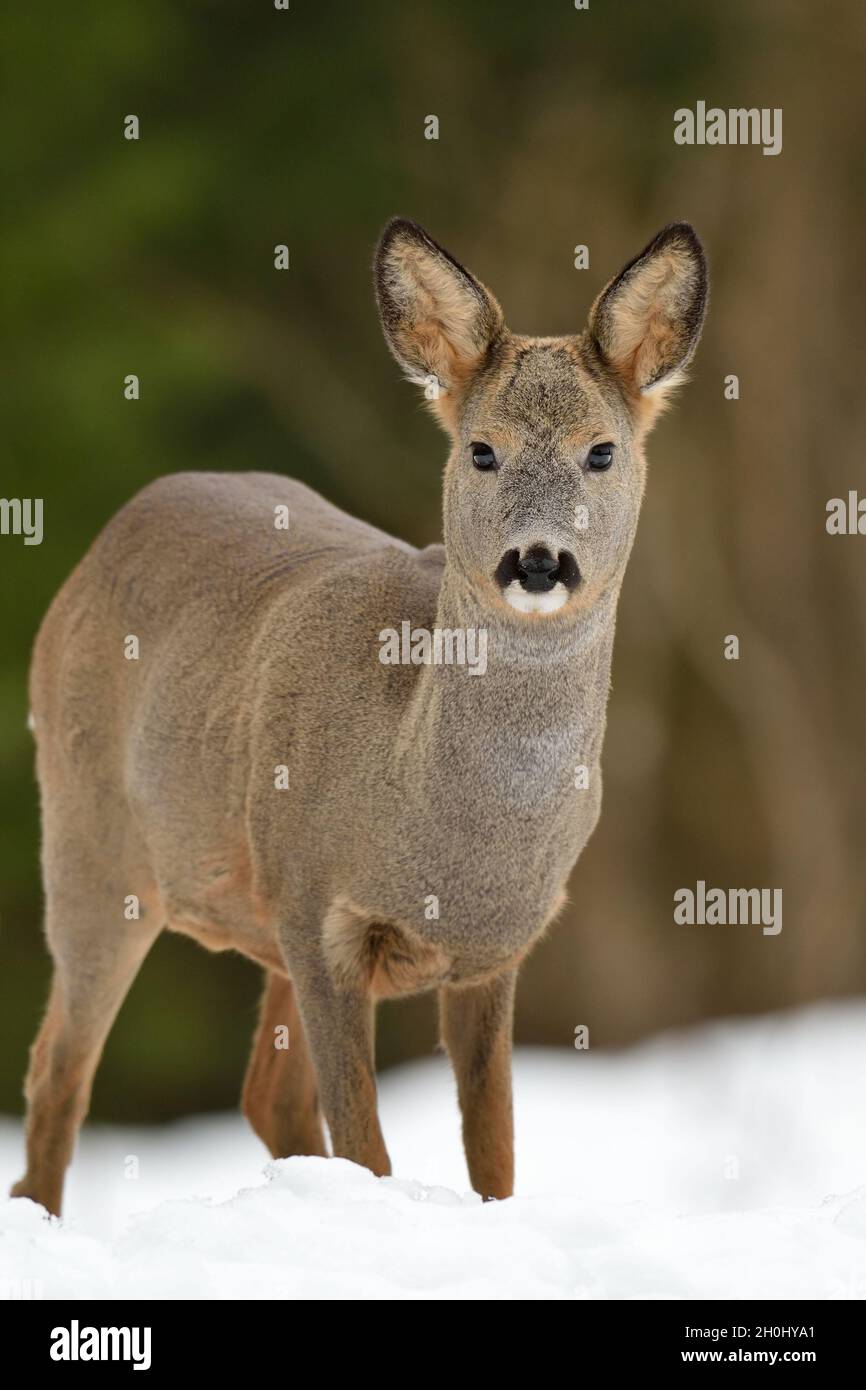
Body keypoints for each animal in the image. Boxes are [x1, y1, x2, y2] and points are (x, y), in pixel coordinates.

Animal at [12, 218, 707, 1216]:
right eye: (481, 449)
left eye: (602, 450)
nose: (538, 561)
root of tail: (108, 534)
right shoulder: (319, 912)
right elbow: (369, 1147)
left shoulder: (495, 951)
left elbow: (494, 1160)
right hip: (92, 844)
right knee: (58, 1073)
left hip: (245, 912)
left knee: (263, 1097)